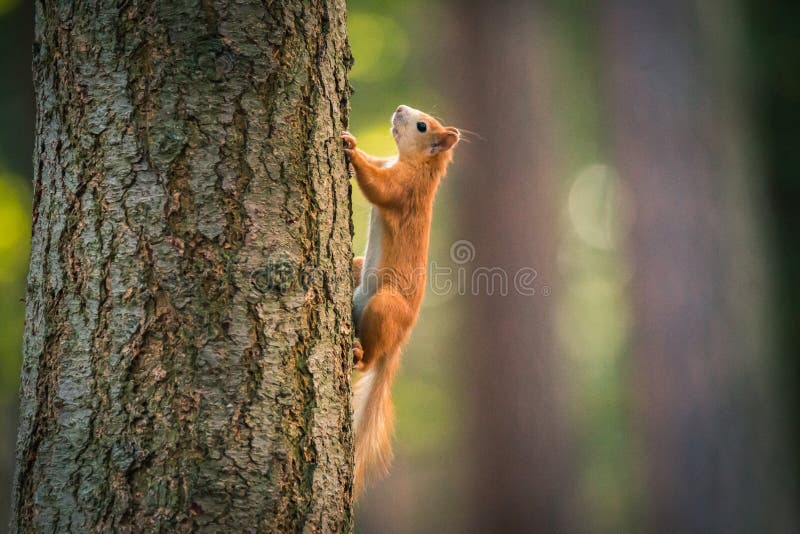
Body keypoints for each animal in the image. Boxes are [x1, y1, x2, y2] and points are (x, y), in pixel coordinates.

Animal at [342, 105, 459, 497]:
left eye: (422, 126)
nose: (399, 109)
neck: (418, 166)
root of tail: (399, 340)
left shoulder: (405, 191)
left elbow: (379, 188)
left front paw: (350, 147)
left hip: (384, 307)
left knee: (368, 360)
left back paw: (360, 354)